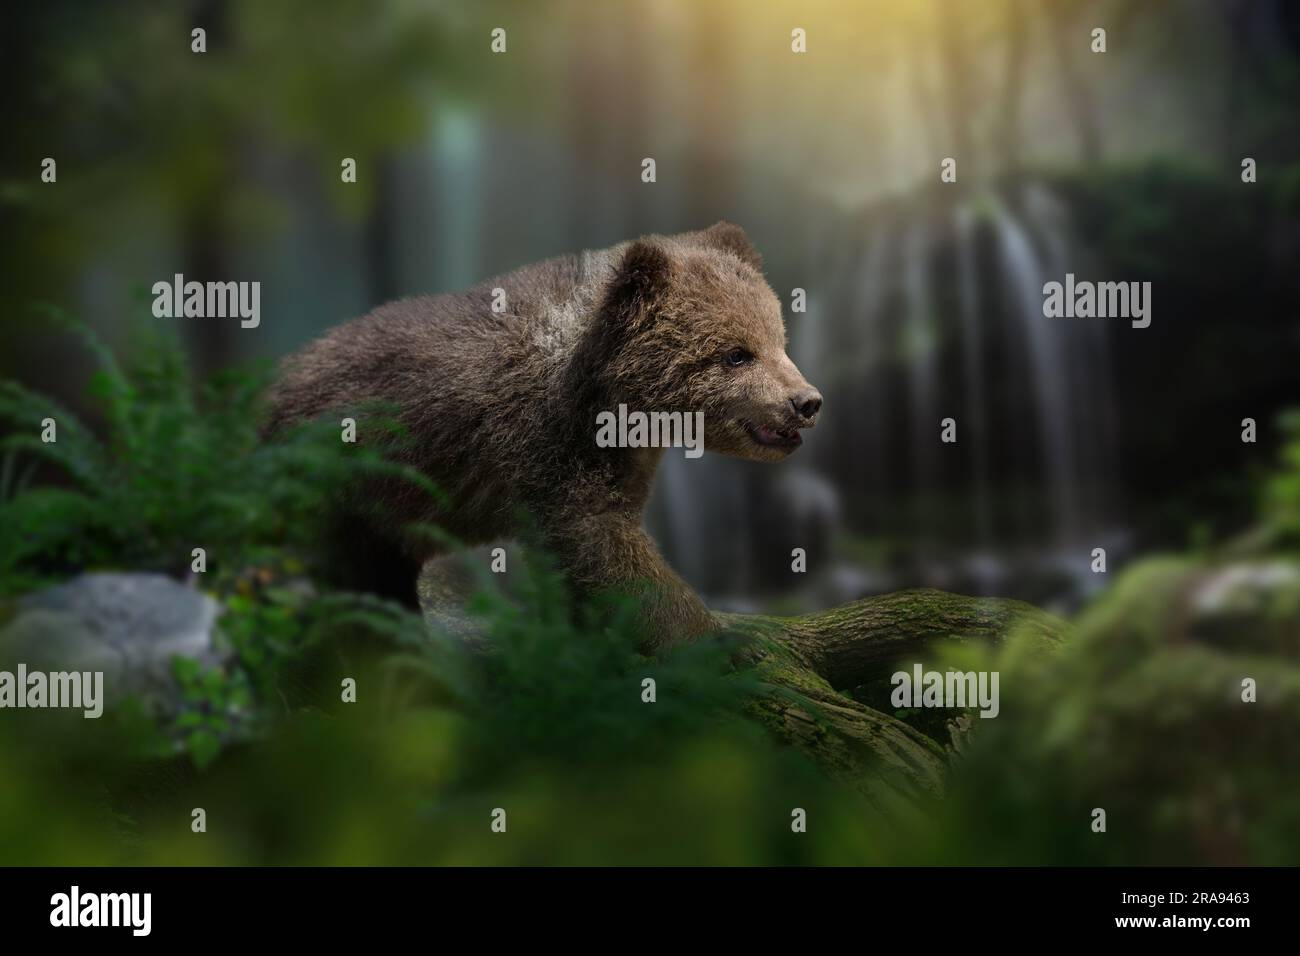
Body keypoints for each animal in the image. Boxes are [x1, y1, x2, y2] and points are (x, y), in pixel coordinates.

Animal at [264, 222, 822, 647]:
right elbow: (603, 547)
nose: (807, 402)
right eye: (735, 353)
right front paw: (721, 642)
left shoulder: (617, 466)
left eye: (779, 339)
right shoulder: (549, 453)